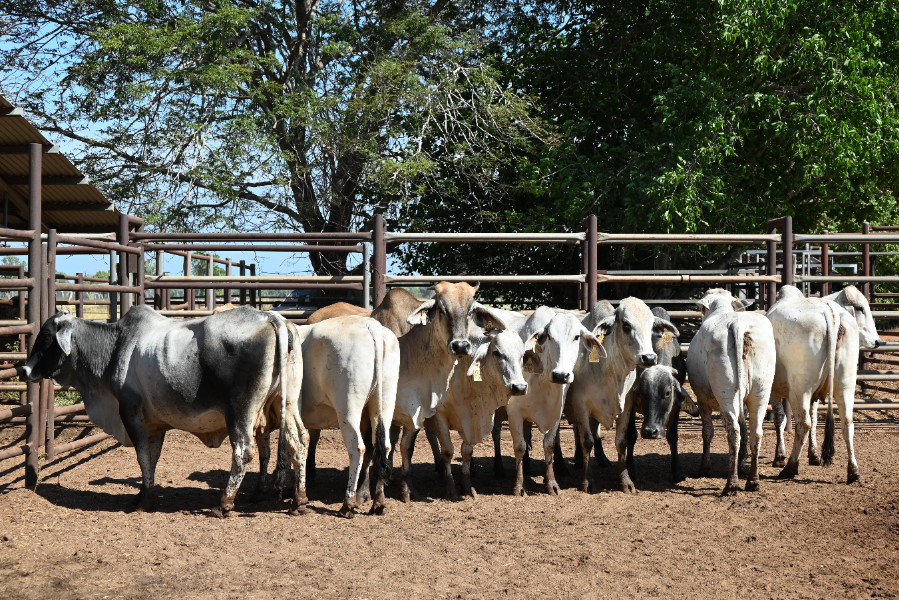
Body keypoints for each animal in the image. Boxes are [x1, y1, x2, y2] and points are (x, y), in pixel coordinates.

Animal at [21, 306, 309, 517]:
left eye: (46, 337)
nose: (24, 370)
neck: (115, 347)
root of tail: (270, 317)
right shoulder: (155, 423)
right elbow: (153, 457)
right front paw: (143, 493)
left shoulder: (130, 410)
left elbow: (142, 456)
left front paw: (145, 500)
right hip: (286, 403)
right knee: (297, 442)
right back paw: (298, 500)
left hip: (241, 412)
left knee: (243, 451)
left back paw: (224, 503)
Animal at [490, 307, 605, 496]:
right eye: (549, 336)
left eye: (577, 337)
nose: (560, 375)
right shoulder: (514, 412)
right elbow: (519, 446)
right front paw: (519, 486)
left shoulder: (557, 412)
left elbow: (549, 445)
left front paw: (551, 482)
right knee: (496, 433)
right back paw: (498, 468)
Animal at [564, 298, 679, 494]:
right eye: (626, 325)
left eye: (651, 326)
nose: (649, 358)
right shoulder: (581, 404)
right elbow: (587, 440)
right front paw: (587, 481)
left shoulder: (627, 405)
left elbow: (622, 442)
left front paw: (625, 481)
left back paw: (601, 459)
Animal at [686, 288, 775, 495]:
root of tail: (738, 325)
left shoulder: (702, 400)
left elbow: (707, 432)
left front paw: (704, 467)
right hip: (760, 392)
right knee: (755, 432)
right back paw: (752, 481)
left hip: (726, 393)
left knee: (733, 431)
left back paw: (732, 484)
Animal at [767, 285, 862, 484]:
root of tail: (830, 312)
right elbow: (815, 417)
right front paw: (814, 455)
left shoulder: (774, 391)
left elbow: (780, 419)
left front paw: (779, 457)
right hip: (846, 386)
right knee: (847, 422)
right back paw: (853, 472)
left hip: (800, 390)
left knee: (804, 423)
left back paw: (790, 467)